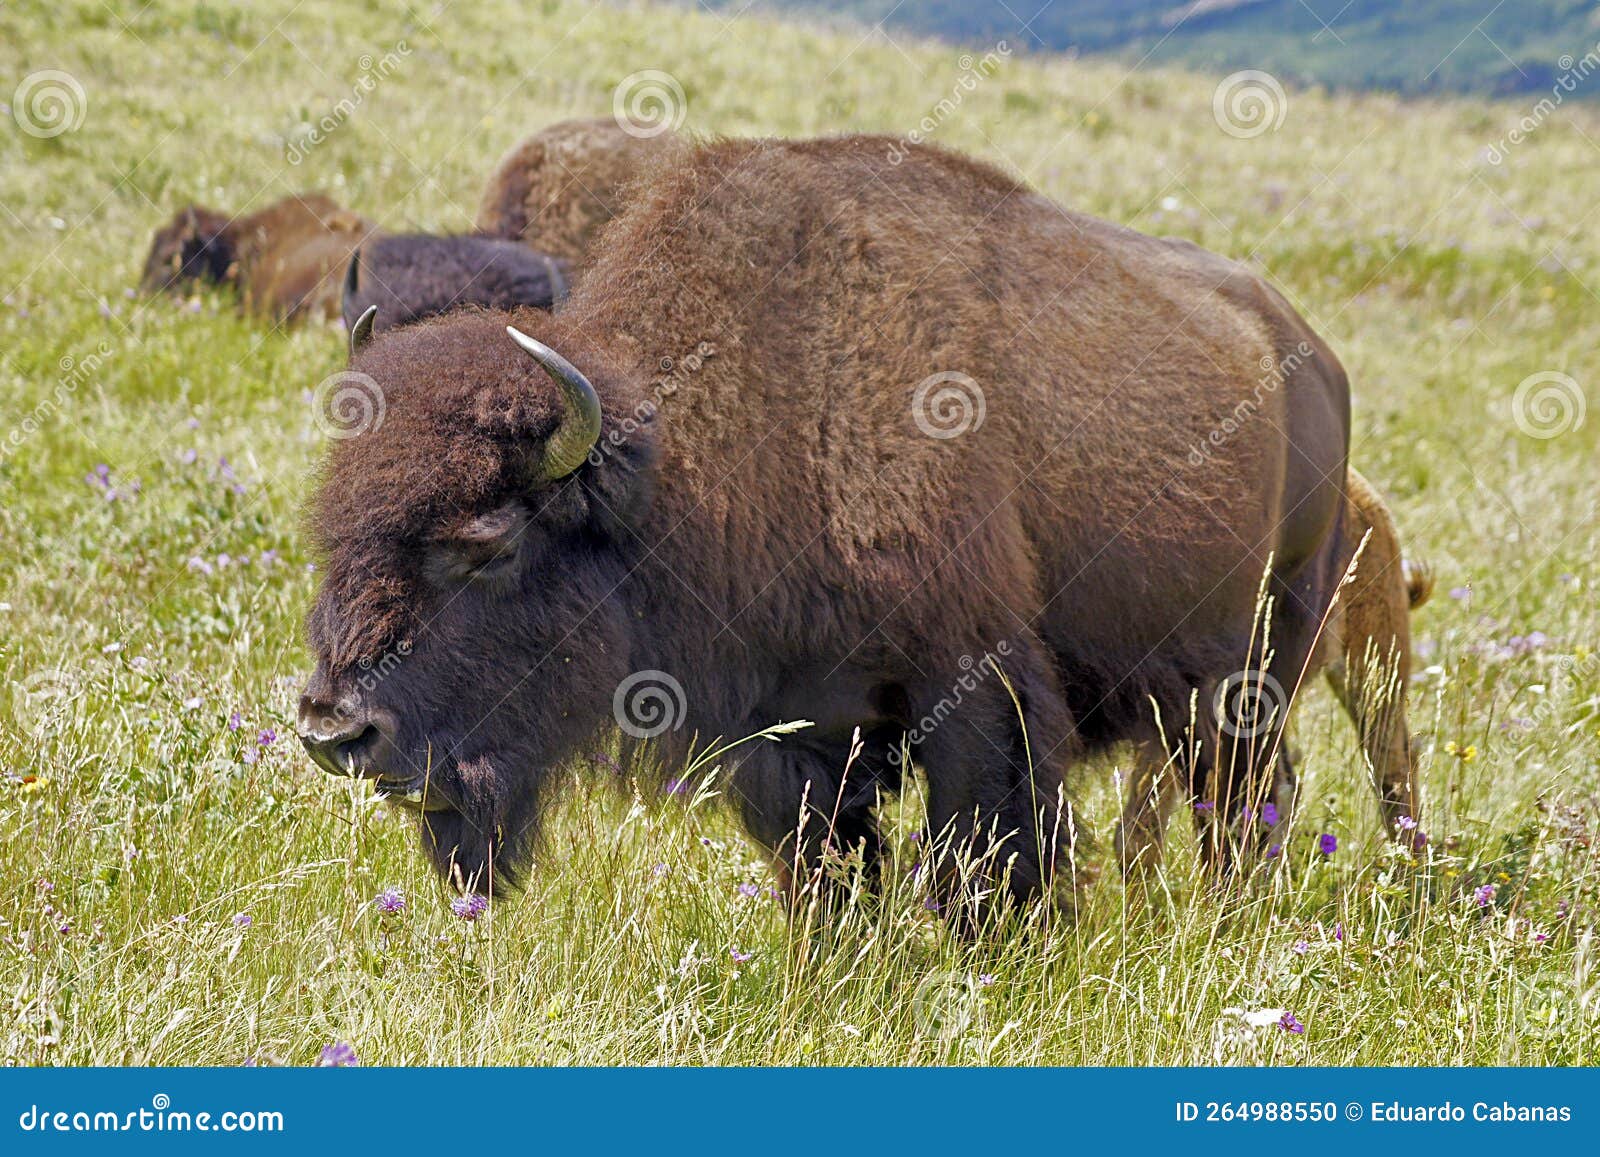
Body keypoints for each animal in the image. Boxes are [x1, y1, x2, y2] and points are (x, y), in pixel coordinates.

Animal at [299, 136, 1359, 925]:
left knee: (1242, 801)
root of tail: (1309, 357)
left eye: (490, 542)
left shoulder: (975, 690)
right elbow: (827, 876)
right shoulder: (795, 733)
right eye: (339, 526)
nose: (332, 728)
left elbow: (988, 860)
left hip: (1258, 663)